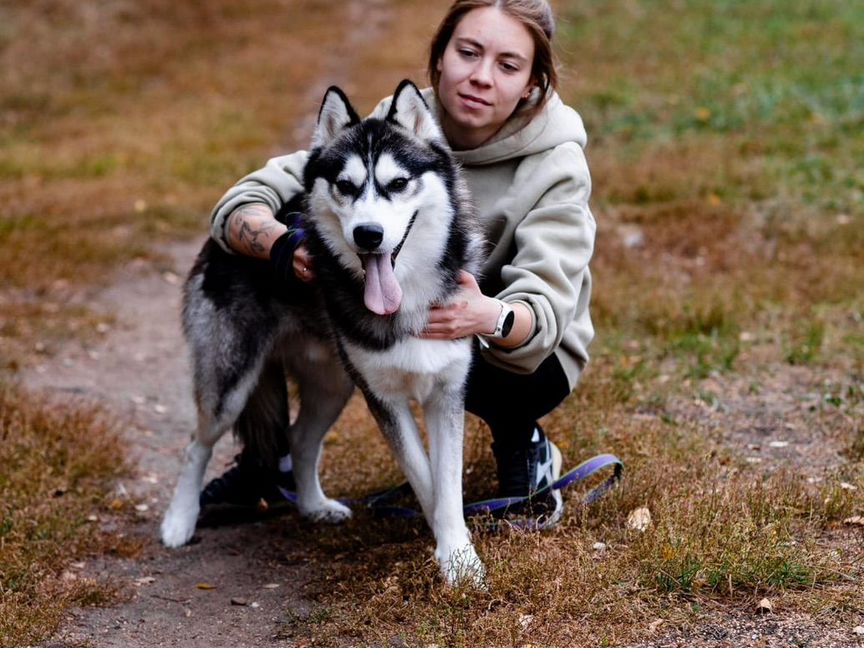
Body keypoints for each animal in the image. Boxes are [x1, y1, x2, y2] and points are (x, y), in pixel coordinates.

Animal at [160, 79, 486, 584]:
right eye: (345, 186)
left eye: (397, 183)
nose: (368, 234)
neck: (407, 296)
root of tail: (214, 243)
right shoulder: (384, 400)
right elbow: (423, 474)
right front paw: (441, 539)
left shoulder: (447, 390)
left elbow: (446, 482)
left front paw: (458, 557)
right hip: (230, 383)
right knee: (198, 444)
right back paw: (179, 520)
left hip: (334, 384)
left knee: (299, 439)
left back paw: (314, 508)